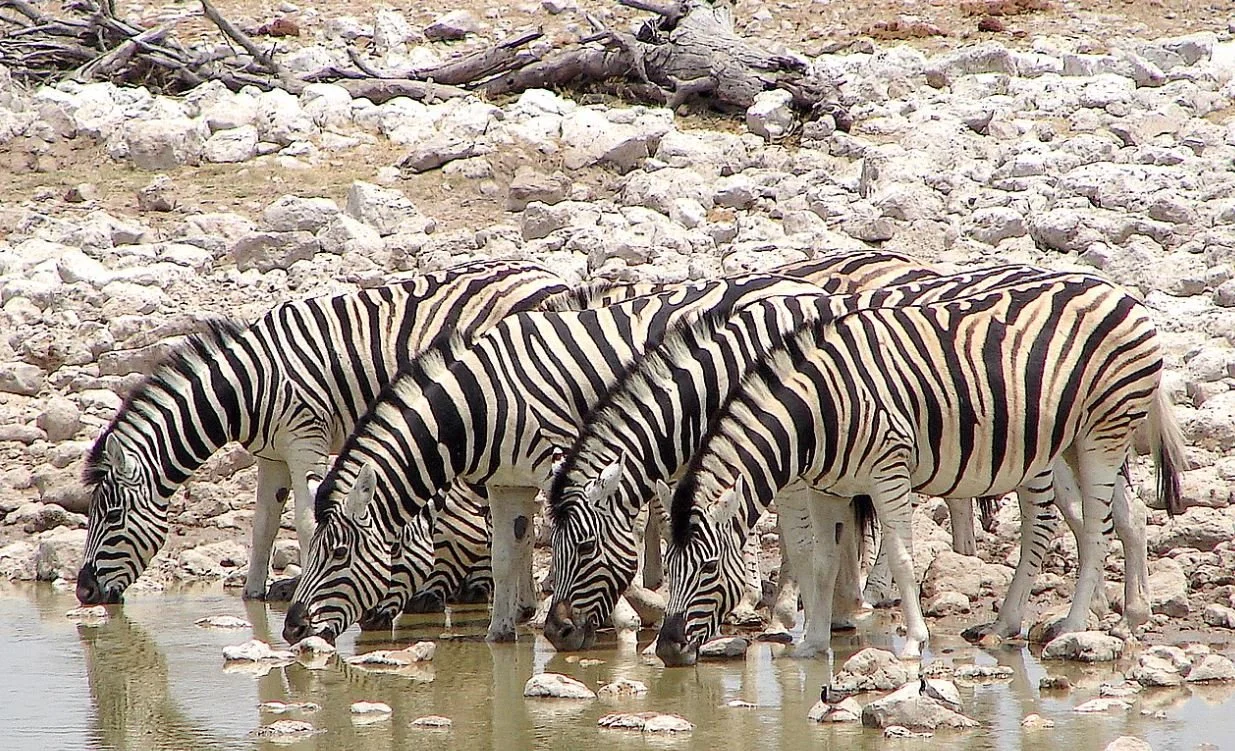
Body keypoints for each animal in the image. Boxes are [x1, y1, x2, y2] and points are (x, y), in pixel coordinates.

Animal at [76, 259, 572, 606]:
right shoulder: (272, 454)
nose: (83, 593)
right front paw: (252, 596)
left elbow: (302, 519)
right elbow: (263, 523)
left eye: (111, 516)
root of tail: (548, 274)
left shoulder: (304, 440)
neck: (248, 386)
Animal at [280, 273, 845, 645]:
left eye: (336, 555)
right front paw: (501, 632)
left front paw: (614, 621)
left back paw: (782, 612)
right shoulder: (505, 483)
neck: (481, 404)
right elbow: (507, 551)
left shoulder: (562, 458)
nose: (291, 628)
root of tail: (810, 290)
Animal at [542, 262, 1155, 654]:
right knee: (1119, 515)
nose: (554, 634)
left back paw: (1069, 624)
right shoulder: (811, 471)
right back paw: (1121, 614)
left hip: (1088, 436)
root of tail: (1115, 288)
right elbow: (823, 549)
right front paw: (822, 620)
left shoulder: (794, 474)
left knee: (1074, 526)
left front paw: (801, 615)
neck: (729, 370)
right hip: (1065, 443)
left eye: (586, 547)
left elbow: (803, 547)